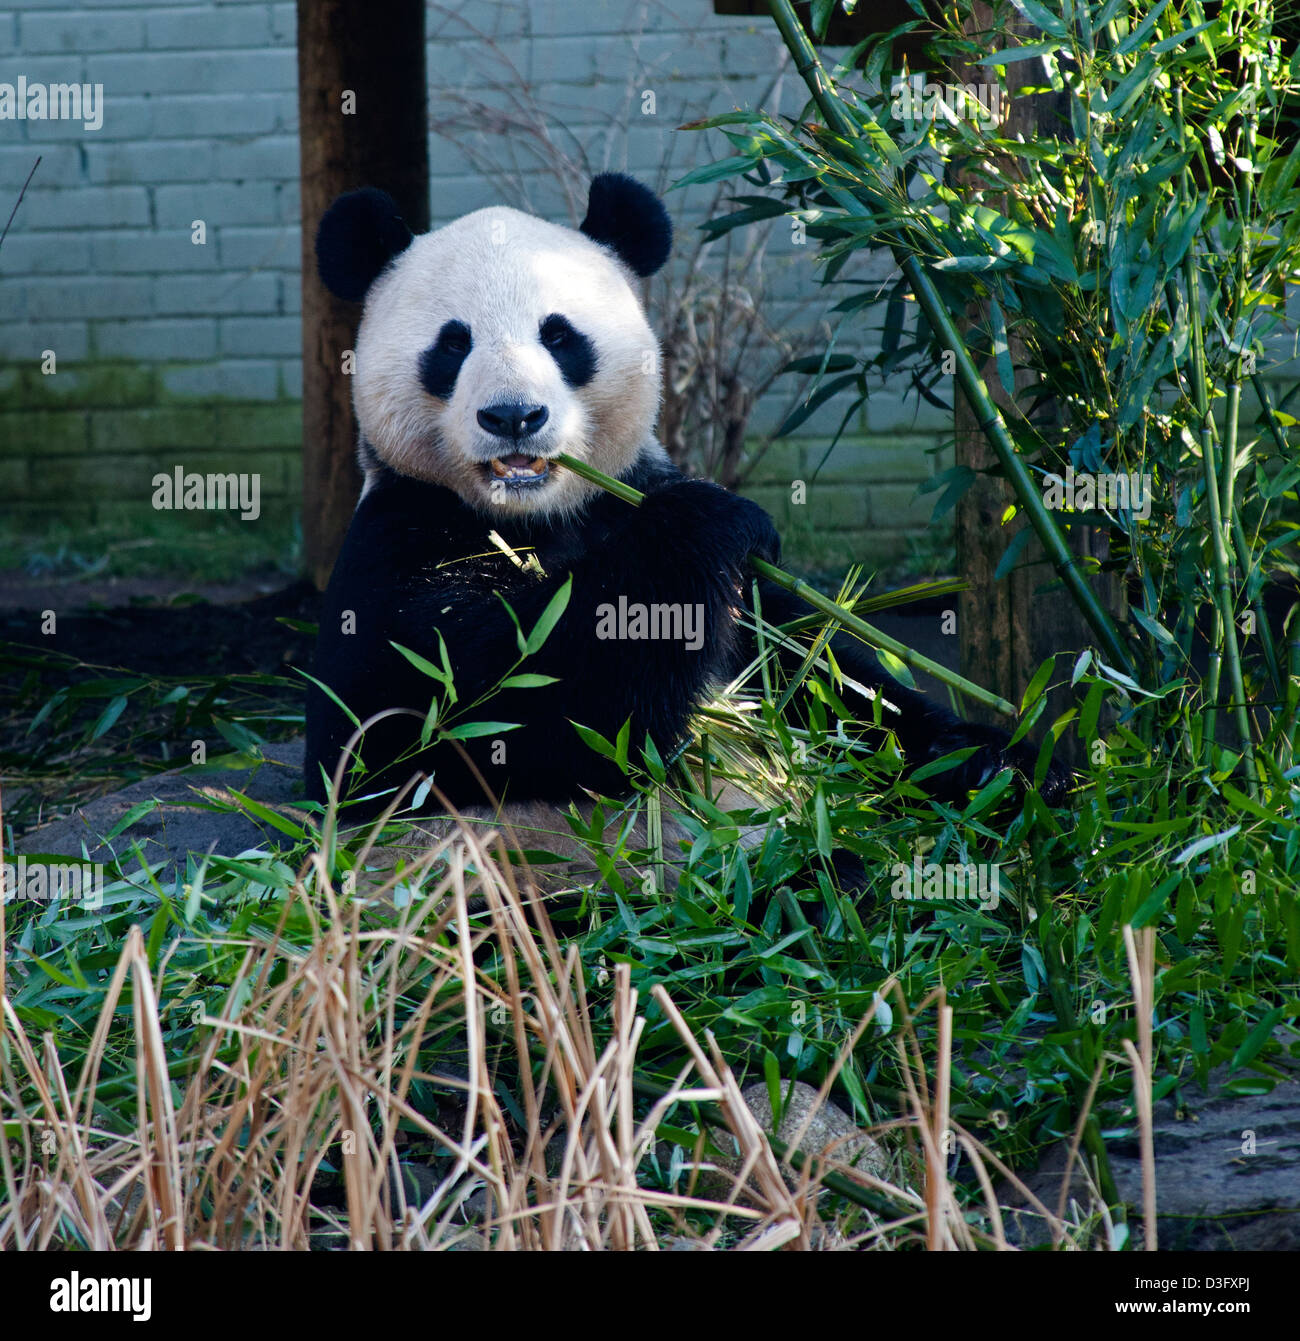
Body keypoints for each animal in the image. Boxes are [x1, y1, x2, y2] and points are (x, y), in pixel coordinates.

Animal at [304, 173, 1066, 858]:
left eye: (560, 336)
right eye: (453, 343)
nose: (514, 416)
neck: (539, 517)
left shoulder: (662, 525)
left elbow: (826, 678)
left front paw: (998, 761)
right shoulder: (398, 538)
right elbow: (476, 715)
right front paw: (710, 516)